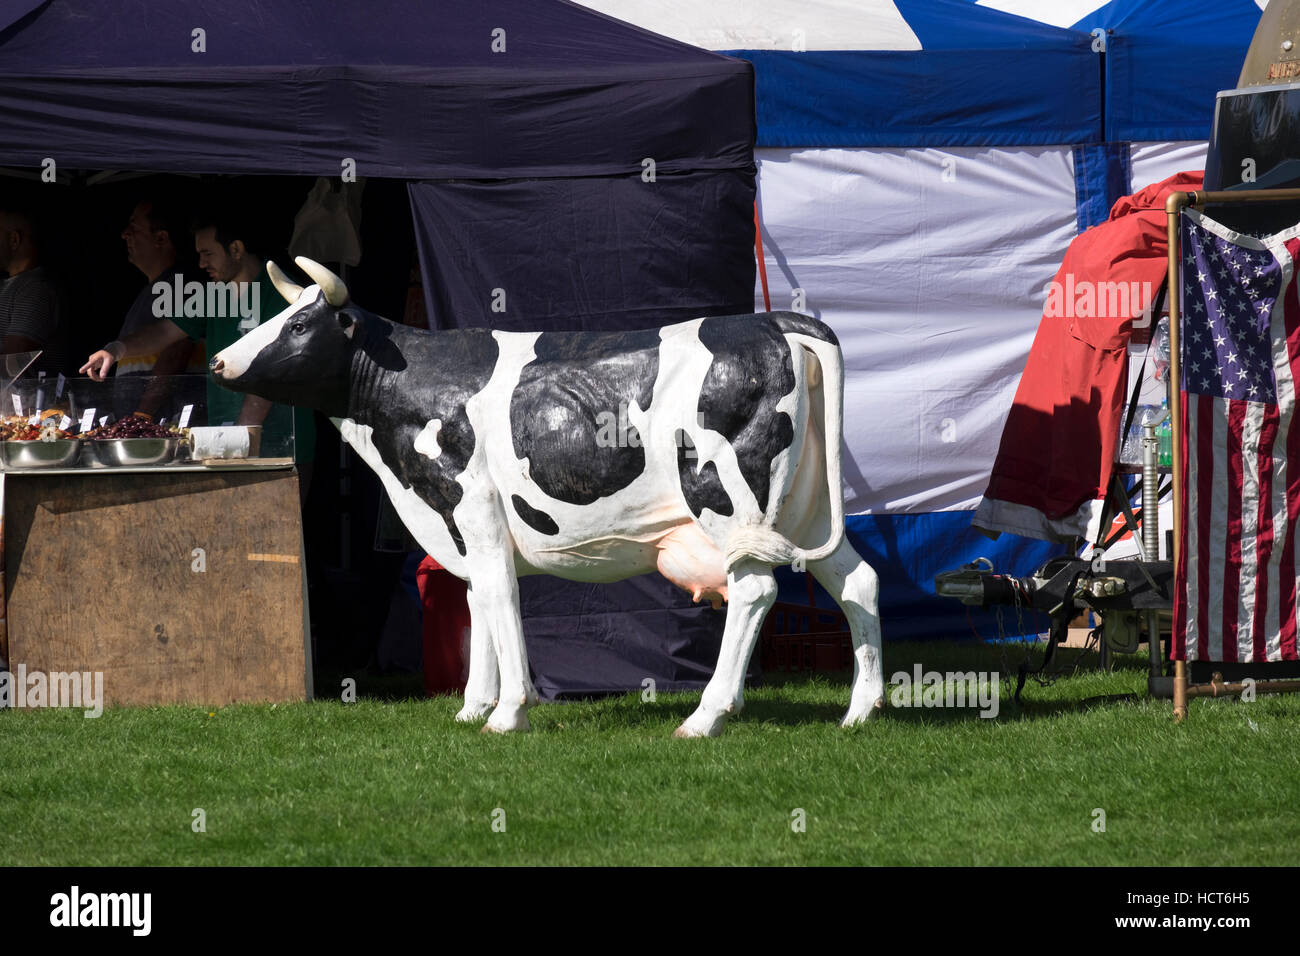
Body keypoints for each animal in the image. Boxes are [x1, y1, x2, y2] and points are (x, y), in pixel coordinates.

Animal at [211, 257, 884, 736]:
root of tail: (773, 321)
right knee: (858, 581)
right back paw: (860, 712)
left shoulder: (473, 507)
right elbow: (477, 601)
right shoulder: (457, 525)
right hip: (805, 510)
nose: (219, 362)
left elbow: (500, 597)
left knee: (754, 589)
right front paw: (471, 709)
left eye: (299, 324)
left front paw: (509, 713)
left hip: (729, 495)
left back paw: (706, 716)